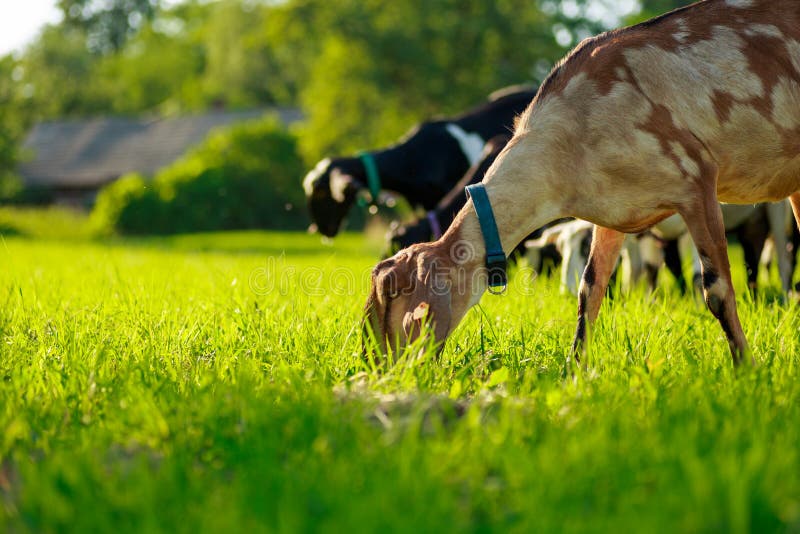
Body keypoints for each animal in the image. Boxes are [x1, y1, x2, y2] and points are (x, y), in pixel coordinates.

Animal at [364, 0, 800, 365]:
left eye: (398, 319)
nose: (387, 371)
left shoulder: (696, 181)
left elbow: (718, 290)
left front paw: (745, 366)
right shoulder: (615, 210)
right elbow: (589, 290)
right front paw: (575, 368)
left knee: (781, 257)